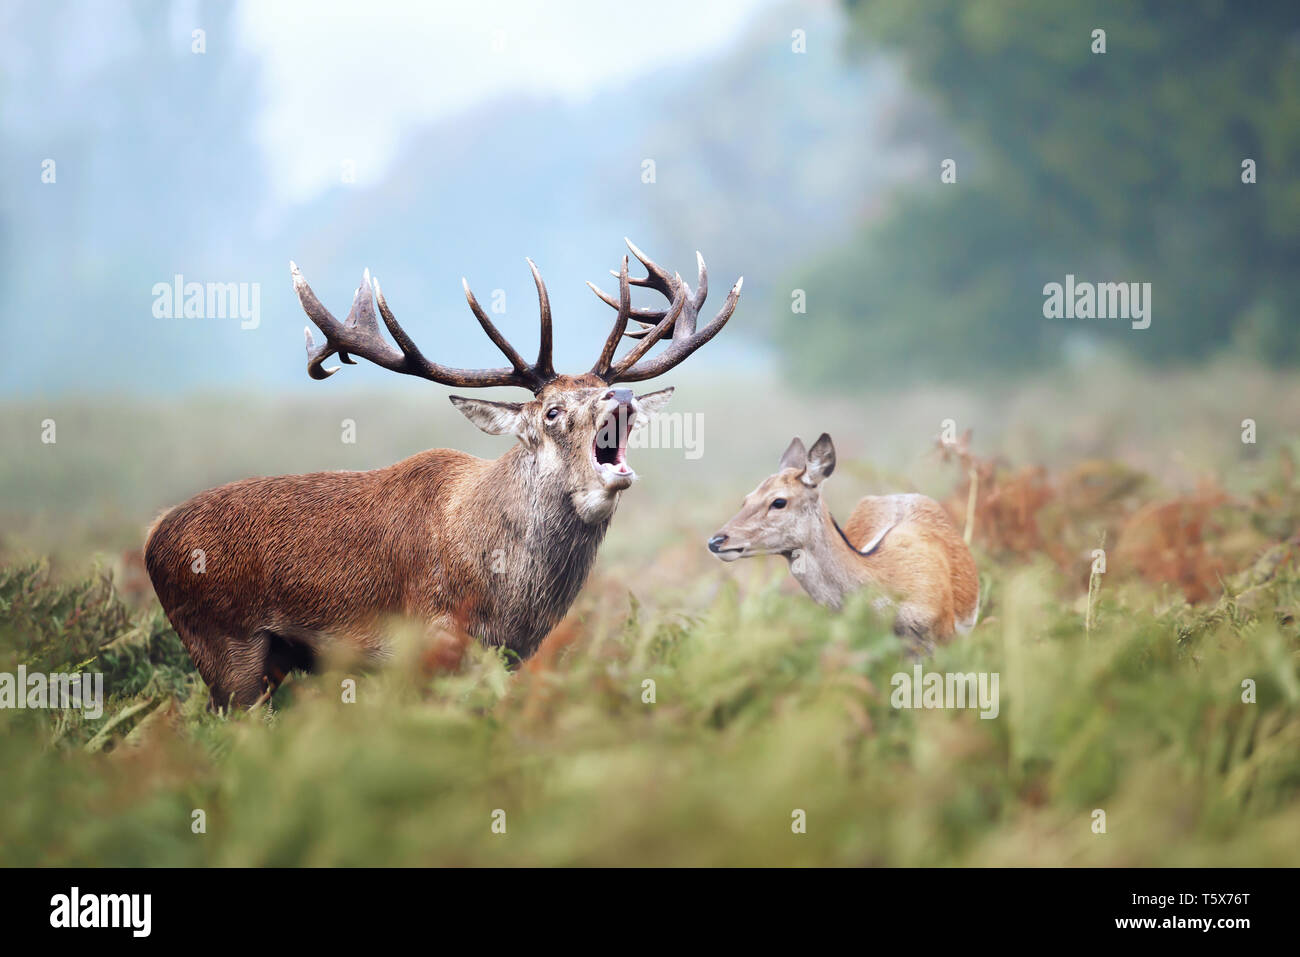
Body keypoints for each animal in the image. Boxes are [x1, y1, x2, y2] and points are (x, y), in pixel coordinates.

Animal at [145, 240, 742, 708]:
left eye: (608, 391)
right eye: (552, 411)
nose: (621, 397)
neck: (507, 597)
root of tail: (153, 538)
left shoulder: (511, 656)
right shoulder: (424, 644)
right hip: (226, 649)